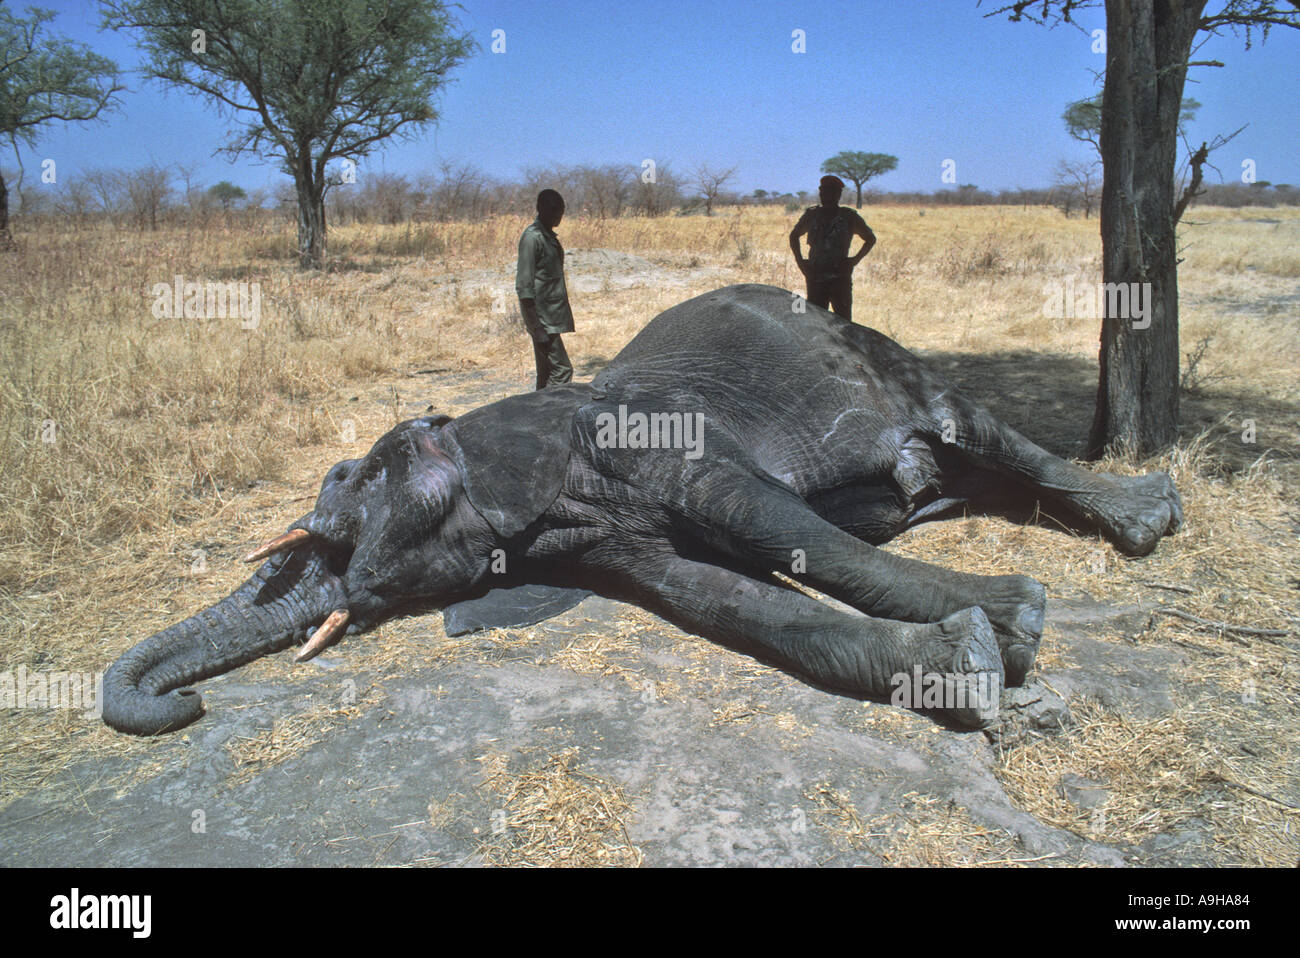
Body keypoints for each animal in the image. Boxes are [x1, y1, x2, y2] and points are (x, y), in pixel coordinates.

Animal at [102, 284, 1183, 736]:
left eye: (351, 482)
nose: (186, 702)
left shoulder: (644, 441)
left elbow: (769, 526)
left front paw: (1013, 628)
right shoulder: (603, 537)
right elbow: (713, 596)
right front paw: (969, 660)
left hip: (879, 353)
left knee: (978, 429)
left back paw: (1143, 516)